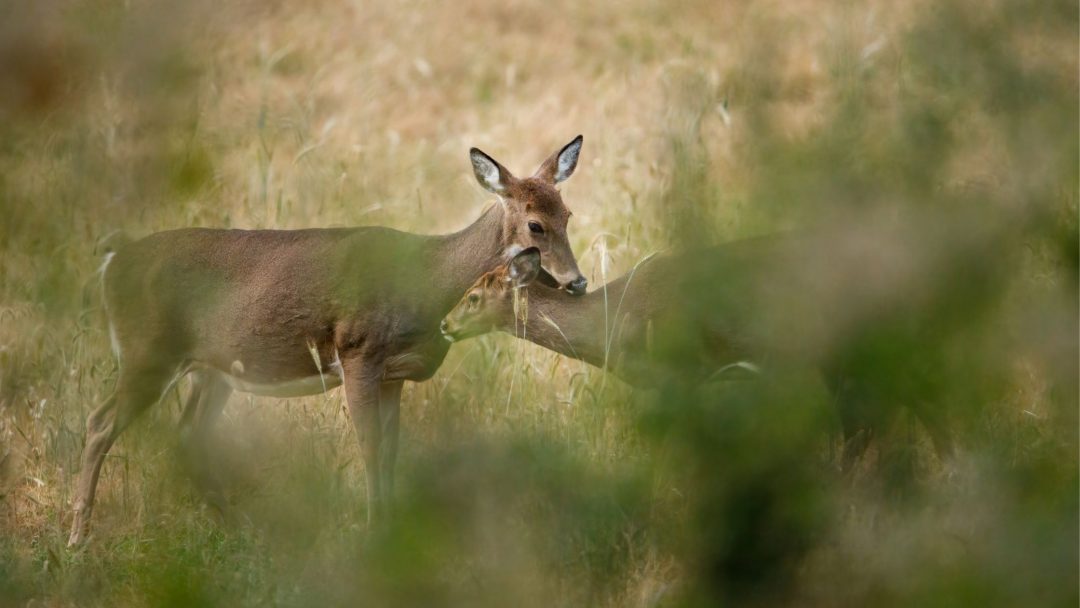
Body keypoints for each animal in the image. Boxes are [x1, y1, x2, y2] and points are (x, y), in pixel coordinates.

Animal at [68, 135, 589, 546]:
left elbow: (391, 449)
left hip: (211, 369)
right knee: (99, 422)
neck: (425, 278)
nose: (578, 282)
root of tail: (112, 261)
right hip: (147, 351)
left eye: (568, 214)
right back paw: (78, 538)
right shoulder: (358, 350)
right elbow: (370, 446)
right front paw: (374, 531)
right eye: (535, 225)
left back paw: (239, 527)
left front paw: (391, 527)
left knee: (187, 433)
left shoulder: (393, 374)